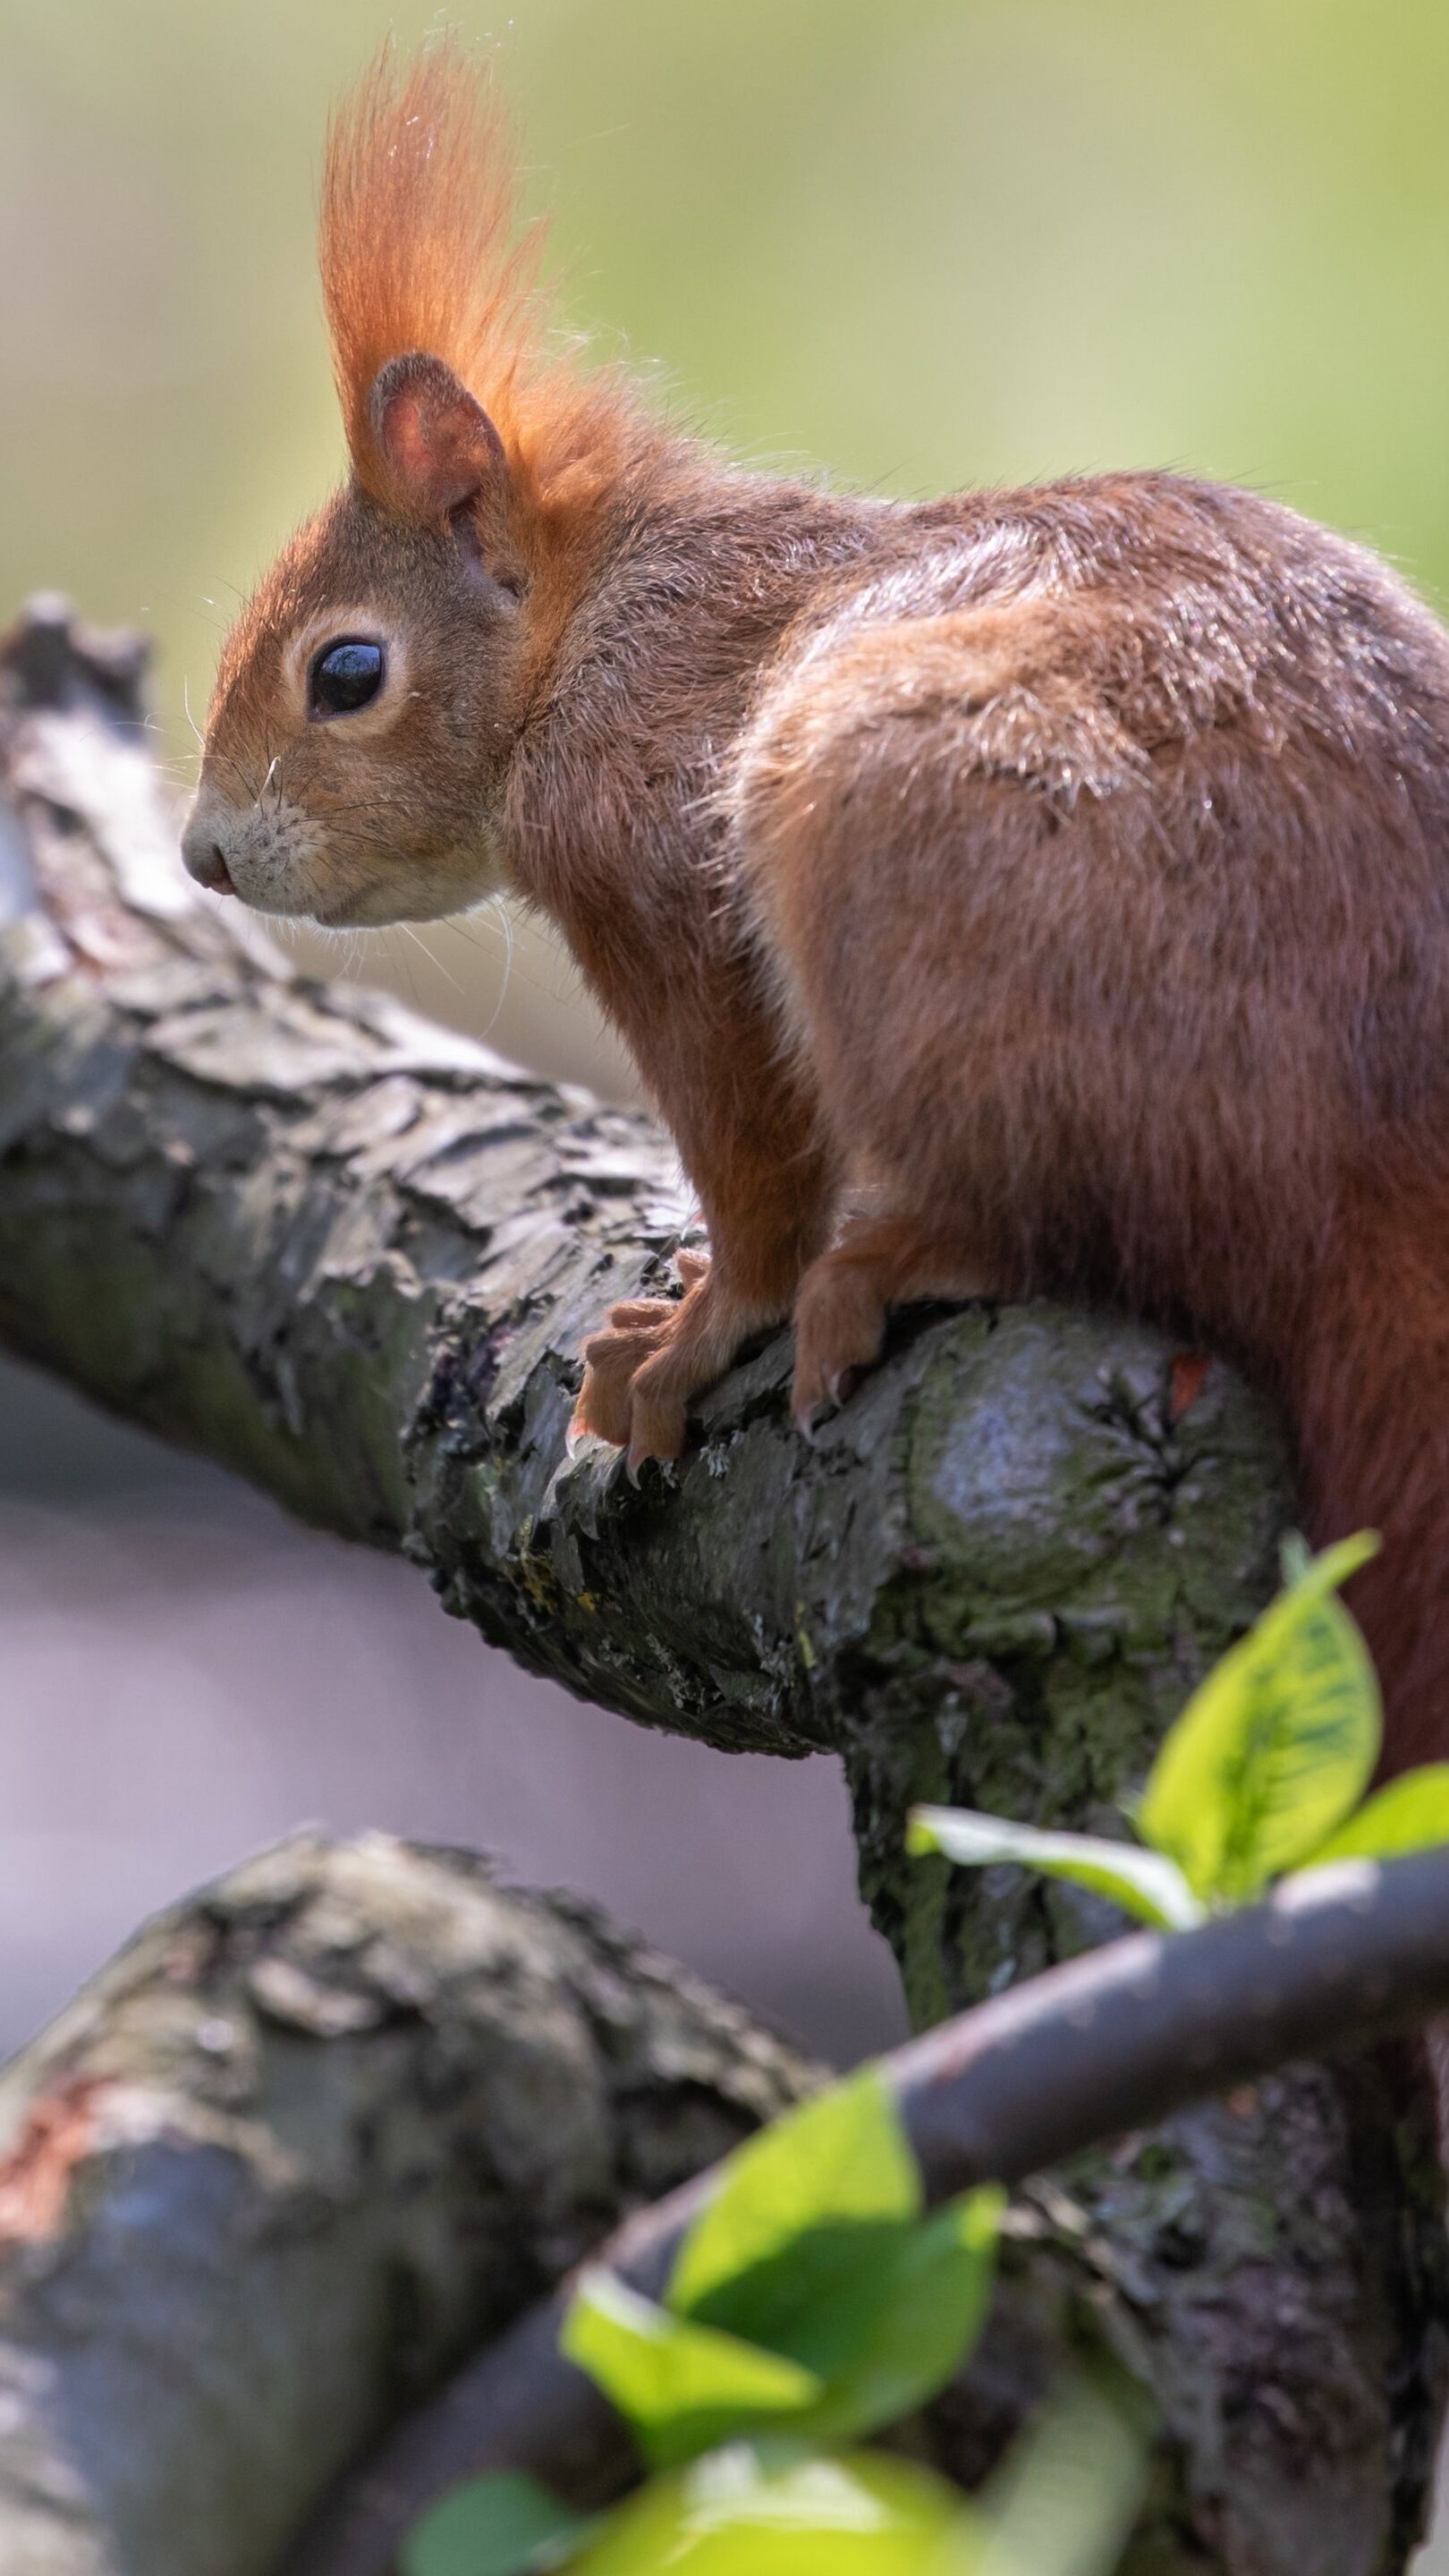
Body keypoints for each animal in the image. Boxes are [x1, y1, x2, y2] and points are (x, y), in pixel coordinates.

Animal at [183, 46, 1449, 1769]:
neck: (596, 621)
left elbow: (753, 1154)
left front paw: (704, 1326)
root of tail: (1376, 1152)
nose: (203, 856)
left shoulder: (655, 862)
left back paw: (894, 1259)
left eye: (348, 671)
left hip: (903, 854)